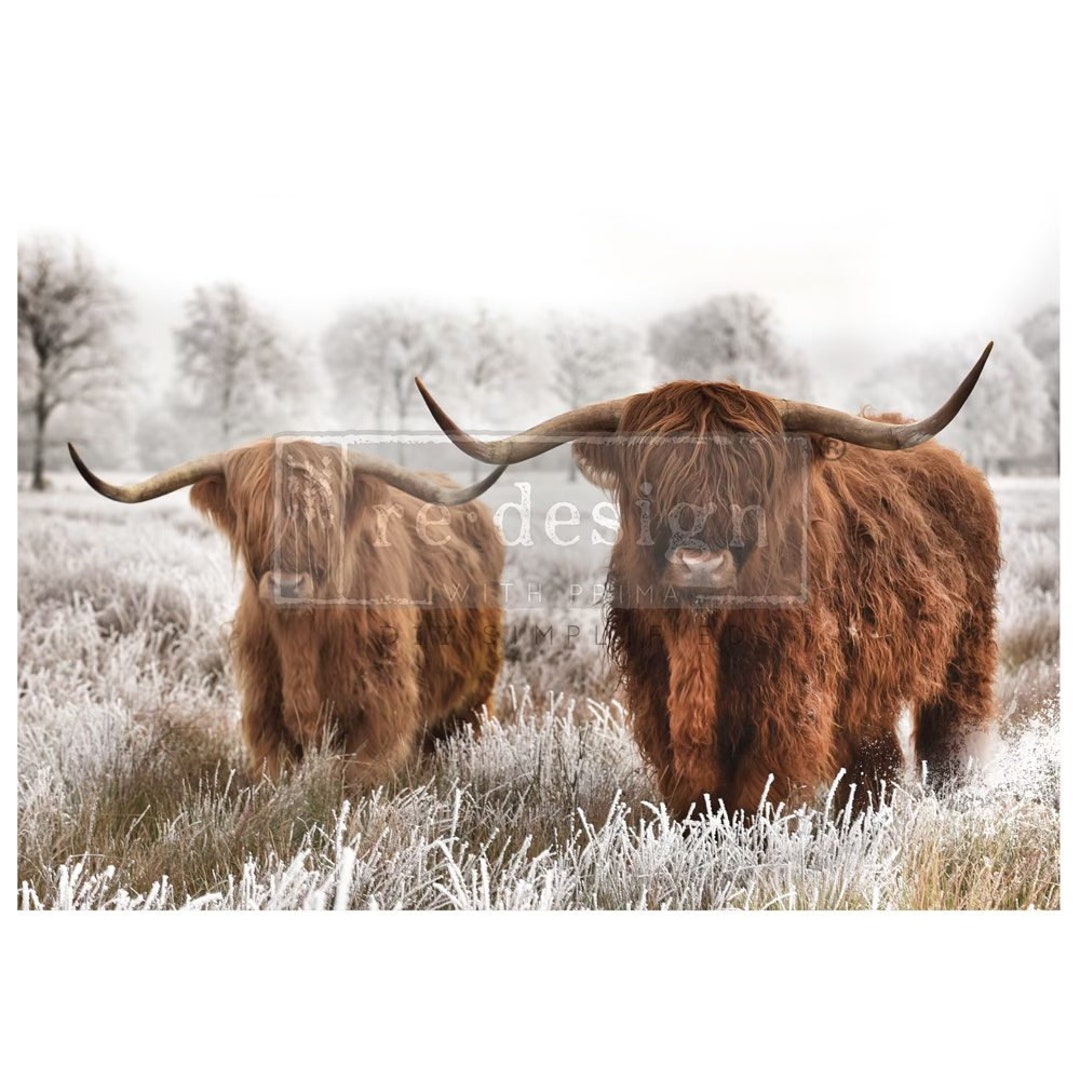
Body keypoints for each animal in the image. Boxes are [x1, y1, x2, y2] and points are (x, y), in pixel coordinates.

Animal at [69, 438, 506, 789]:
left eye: (323, 519)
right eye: (253, 514)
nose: (287, 585)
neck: (303, 636)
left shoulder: (381, 710)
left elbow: (360, 781)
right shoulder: (264, 709)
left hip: (475, 693)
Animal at [415, 343, 999, 819]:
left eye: (754, 478)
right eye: (648, 479)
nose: (699, 566)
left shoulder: (788, 697)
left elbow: (757, 791)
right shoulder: (656, 693)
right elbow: (695, 793)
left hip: (966, 653)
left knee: (950, 739)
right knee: (874, 759)